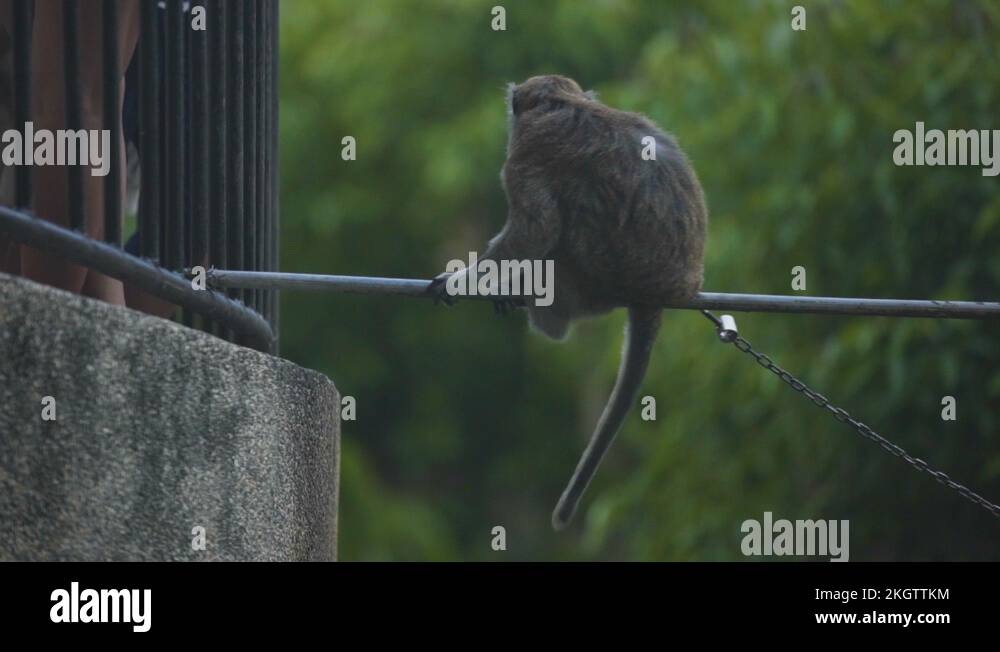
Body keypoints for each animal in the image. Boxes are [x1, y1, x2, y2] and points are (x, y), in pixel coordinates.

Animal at [428, 75, 708, 529]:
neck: (564, 104)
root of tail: (664, 292)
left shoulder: (528, 154)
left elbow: (534, 229)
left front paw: (460, 279)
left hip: (597, 270)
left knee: (561, 235)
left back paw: (544, 313)